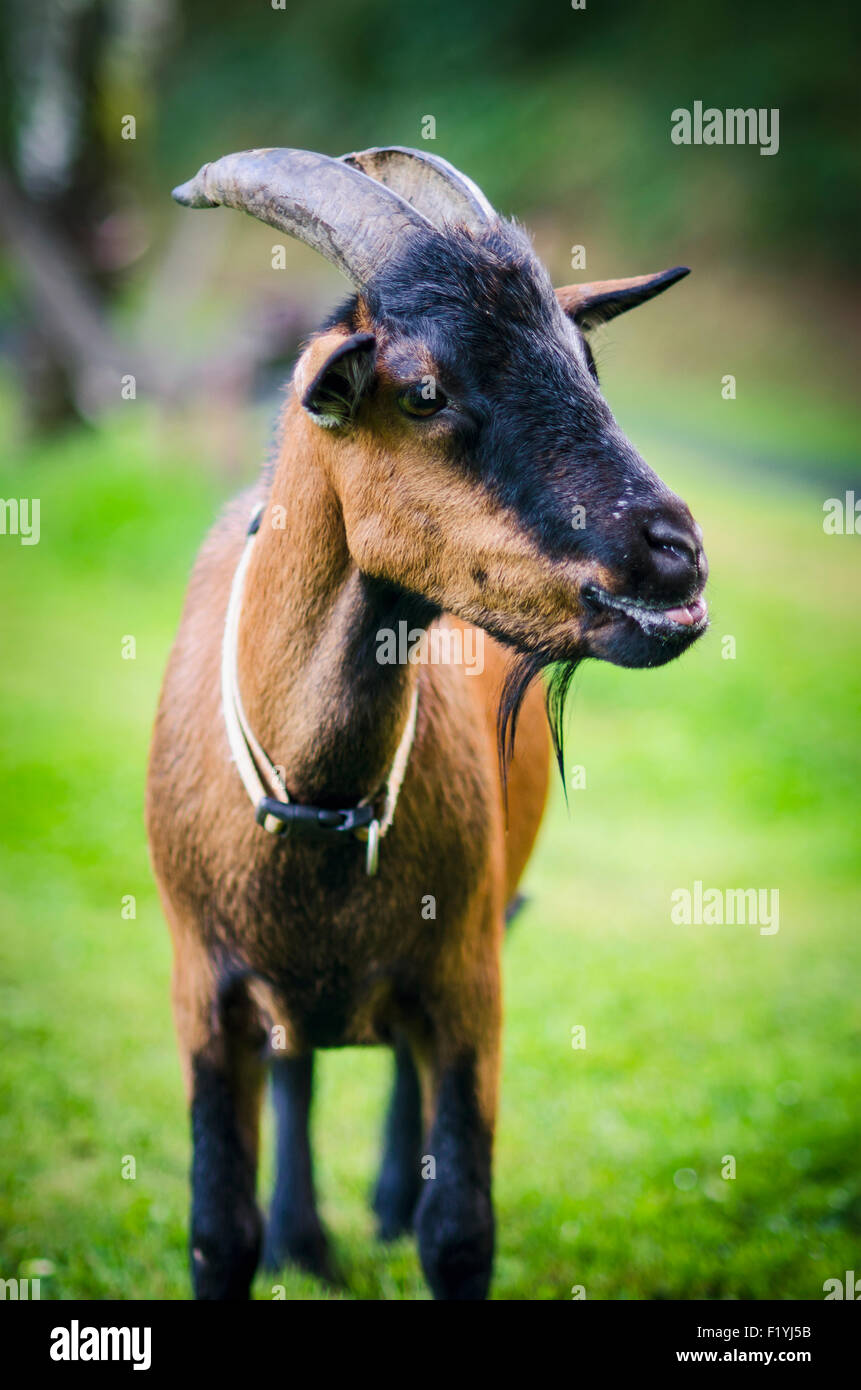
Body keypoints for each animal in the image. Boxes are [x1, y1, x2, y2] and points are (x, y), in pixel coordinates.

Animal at [145, 145, 708, 1301]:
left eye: (587, 361)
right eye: (423, 389)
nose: (675, 551)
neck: (317, 806)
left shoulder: (466, 985)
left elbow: (461, 1232)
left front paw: (414, 1214)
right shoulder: (204, 996)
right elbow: (216, 1230)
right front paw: (273, 1237)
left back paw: (383, 1204)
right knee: (299, 1070)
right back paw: (306, 1236)